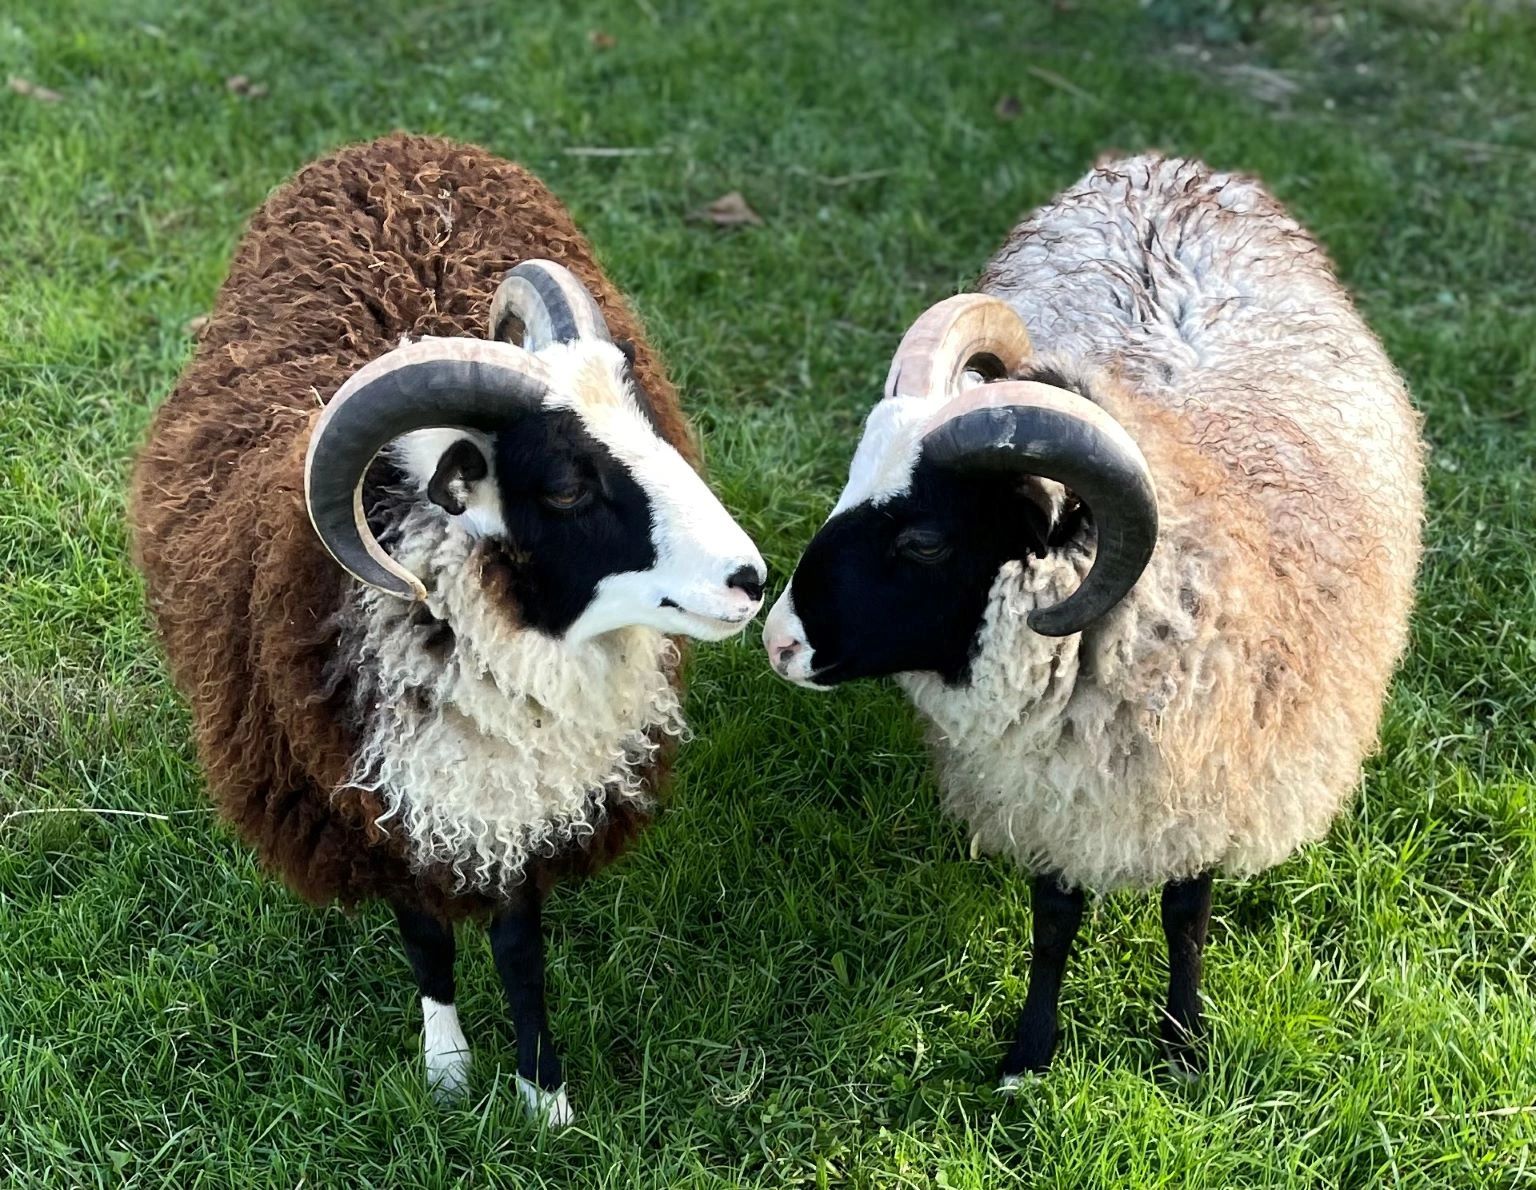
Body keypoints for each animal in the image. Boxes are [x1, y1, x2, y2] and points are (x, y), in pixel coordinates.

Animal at [129, 134, 766, 1123]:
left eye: (651, 428)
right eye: (567, 485)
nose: (752, 581)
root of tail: (396, 144)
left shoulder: (526, 798)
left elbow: (519, 952)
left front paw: (544, 1096)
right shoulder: (374, 803)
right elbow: (428, 938)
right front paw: (448, 1070)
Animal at [762, 155, 1424, 1081]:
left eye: (924, 541)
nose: (779, 640)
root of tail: (1166, 165)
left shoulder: (1207, 784)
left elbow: (1186, 916)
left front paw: (1183, 1044)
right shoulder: (1052, 793)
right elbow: (1054, 920)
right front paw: (1029, 1054)